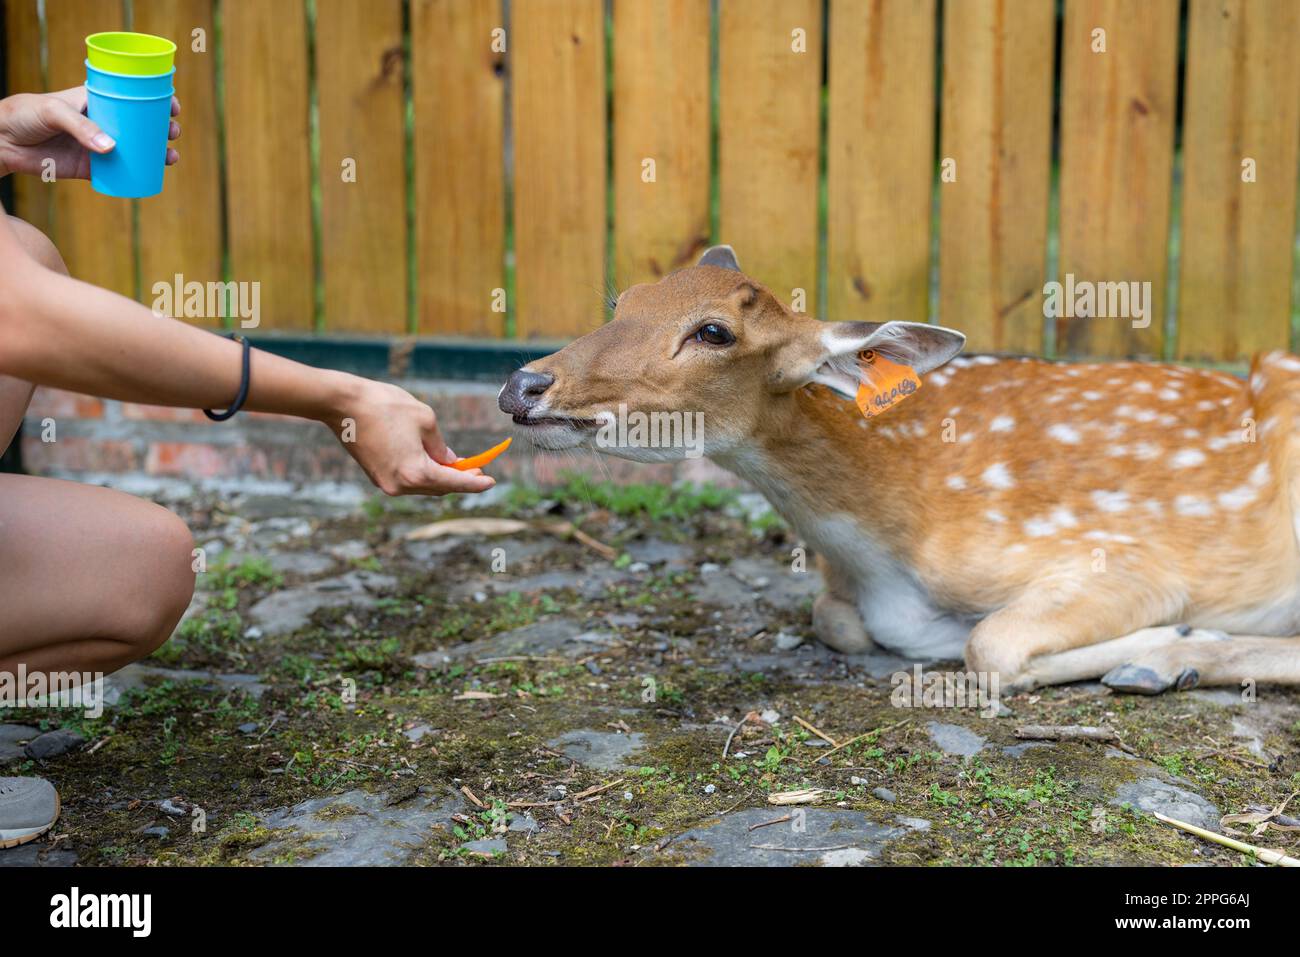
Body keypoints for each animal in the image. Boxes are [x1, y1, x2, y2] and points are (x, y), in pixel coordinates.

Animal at [498, 245, 1300, 695]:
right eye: (622, 301)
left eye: (714, 332)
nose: (523, 385)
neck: (887, 542)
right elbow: (835, 619)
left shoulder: (1127, 557)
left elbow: (991, 645)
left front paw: (1176, 639)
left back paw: (1162, 661)